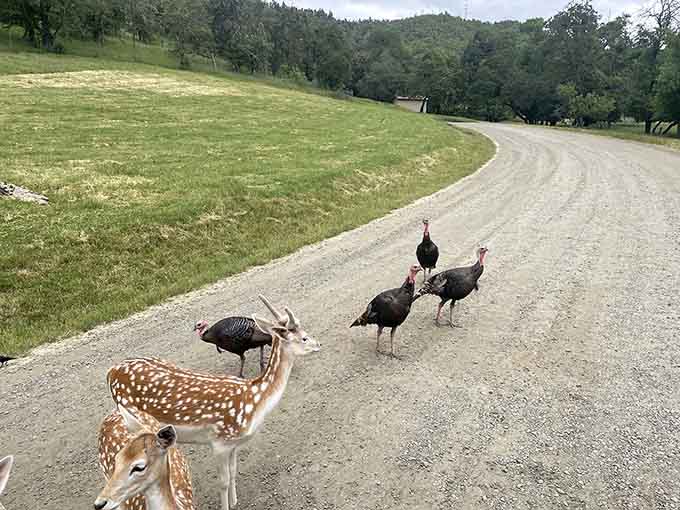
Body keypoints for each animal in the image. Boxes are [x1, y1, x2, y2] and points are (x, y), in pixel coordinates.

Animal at [106, 295, 321, 510]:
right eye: (304, 337)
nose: (319, 344)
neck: (254, 401)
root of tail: (110, 372)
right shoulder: (219, 442)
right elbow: (223, 481)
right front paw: (227, 504)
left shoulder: (234, 443)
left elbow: (234, 471)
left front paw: (235, 501)